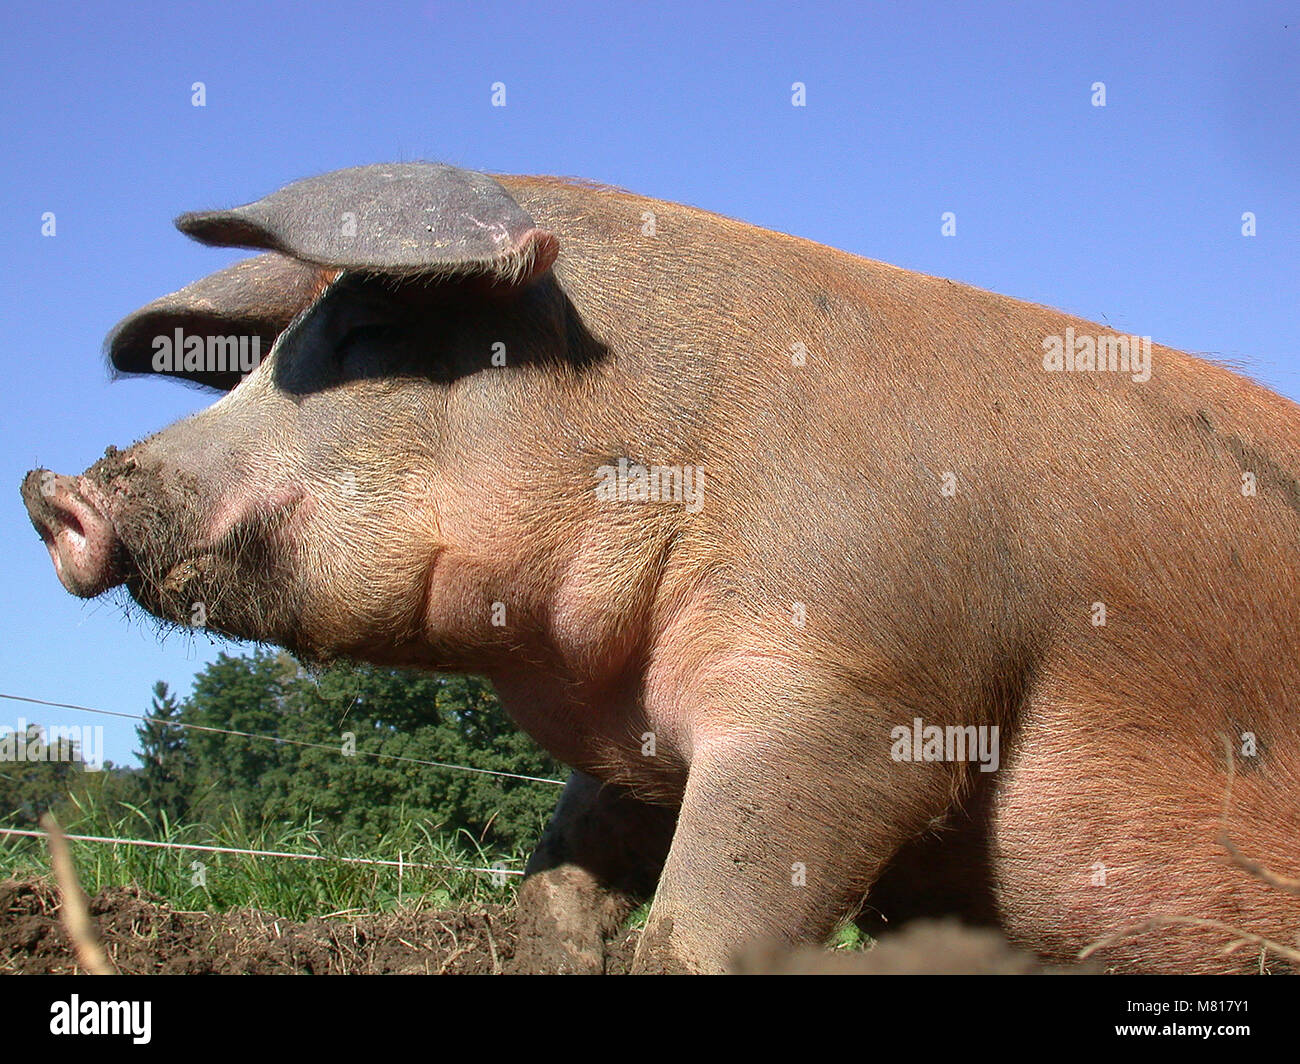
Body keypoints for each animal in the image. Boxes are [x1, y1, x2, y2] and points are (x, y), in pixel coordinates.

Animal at [21, 162, 1300, 974]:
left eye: (374, 336)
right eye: (273, 350)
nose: (54, 491)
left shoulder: (857, 701)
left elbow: (697, 932)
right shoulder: (642, 743)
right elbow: (553, 879)